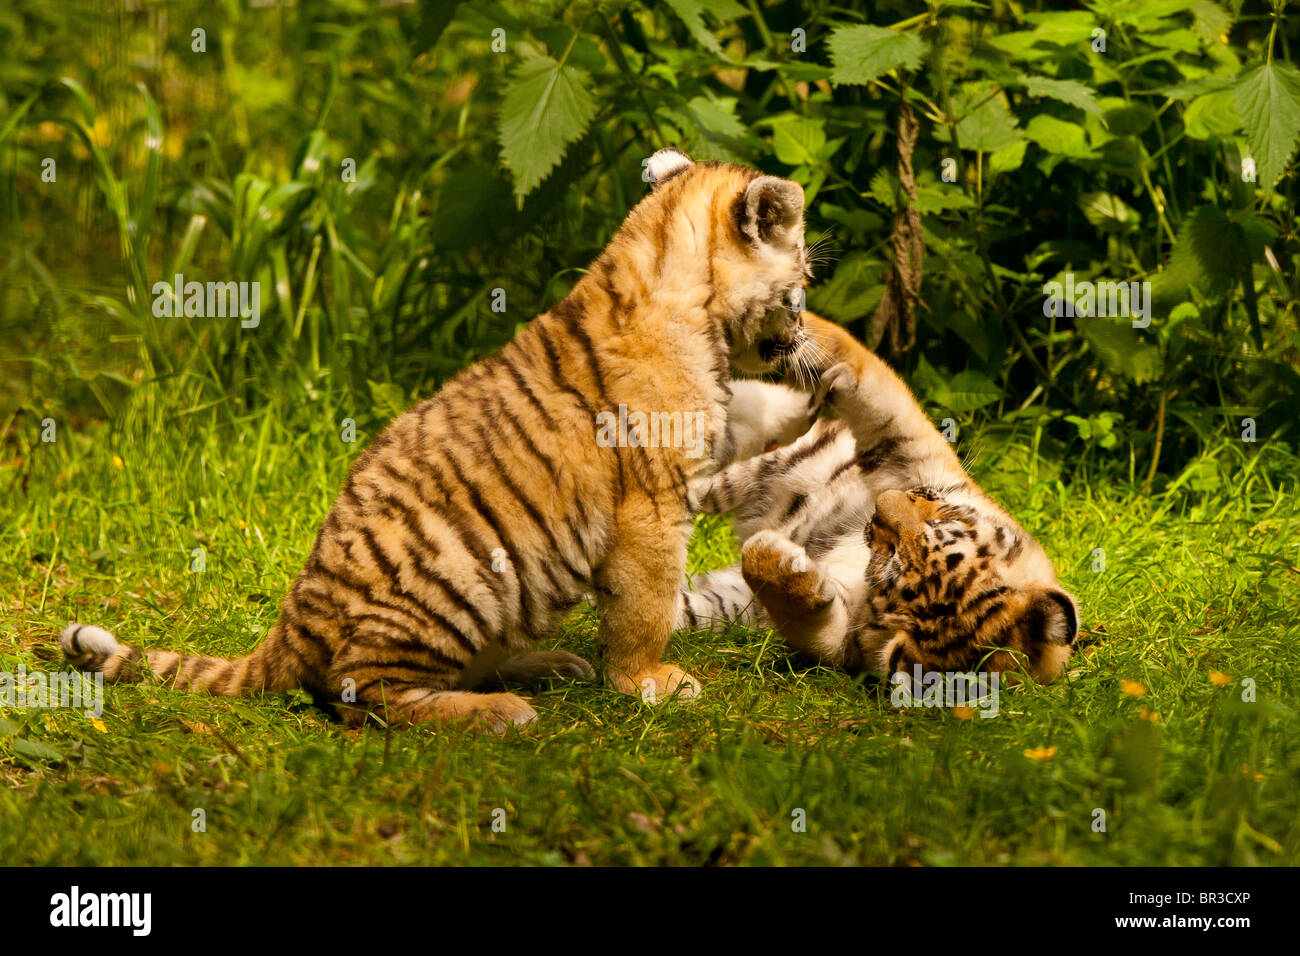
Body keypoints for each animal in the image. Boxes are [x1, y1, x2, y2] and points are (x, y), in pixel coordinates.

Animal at [60, 147, 813, 733]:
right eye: (804, 278)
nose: (804, 334)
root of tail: (297, 613)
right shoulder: (652, 509)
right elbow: (646, 606)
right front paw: (649, 682)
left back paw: (549, 665)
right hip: (460, 569)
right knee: (363, 693)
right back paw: (498, 711)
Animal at [677, 312, 1079, 684]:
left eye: (891, 564)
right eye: (941, 523)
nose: (881, 503)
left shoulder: (850, 642)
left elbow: (815, 632)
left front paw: (774, 558)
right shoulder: (917, 461)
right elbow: (878, 393)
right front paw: (812, 331)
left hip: (720, 604)